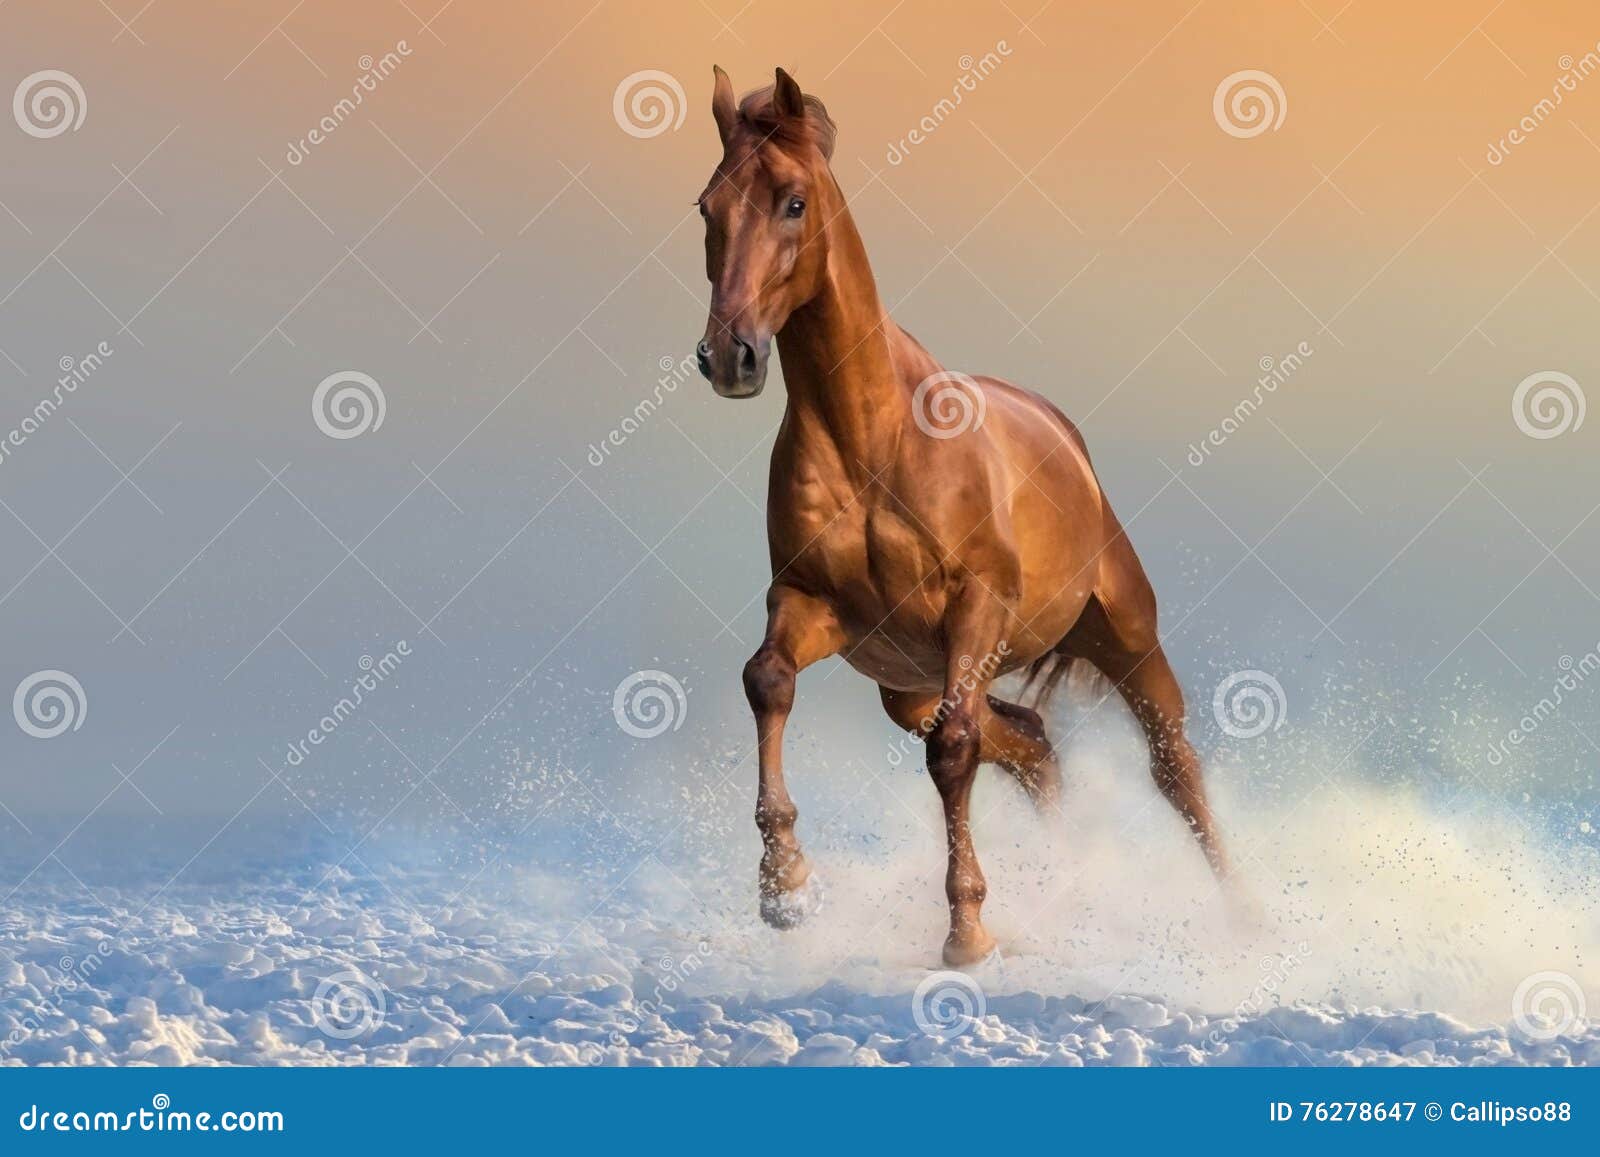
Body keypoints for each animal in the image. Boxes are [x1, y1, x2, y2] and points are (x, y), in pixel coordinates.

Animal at [694, 67, 1228, 967]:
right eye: (707, 206)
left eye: (793, 202)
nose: (730, 357)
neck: (873, 438)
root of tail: (1065, 436)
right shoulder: (809, 602)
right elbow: (767, 680)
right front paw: (785, 884)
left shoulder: (976, 609)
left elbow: (952, 756)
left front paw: (968, 932)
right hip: (909, 685)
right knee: (1031, 745)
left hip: (1122, 638)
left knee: (1172, 768)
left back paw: (1250, 919)